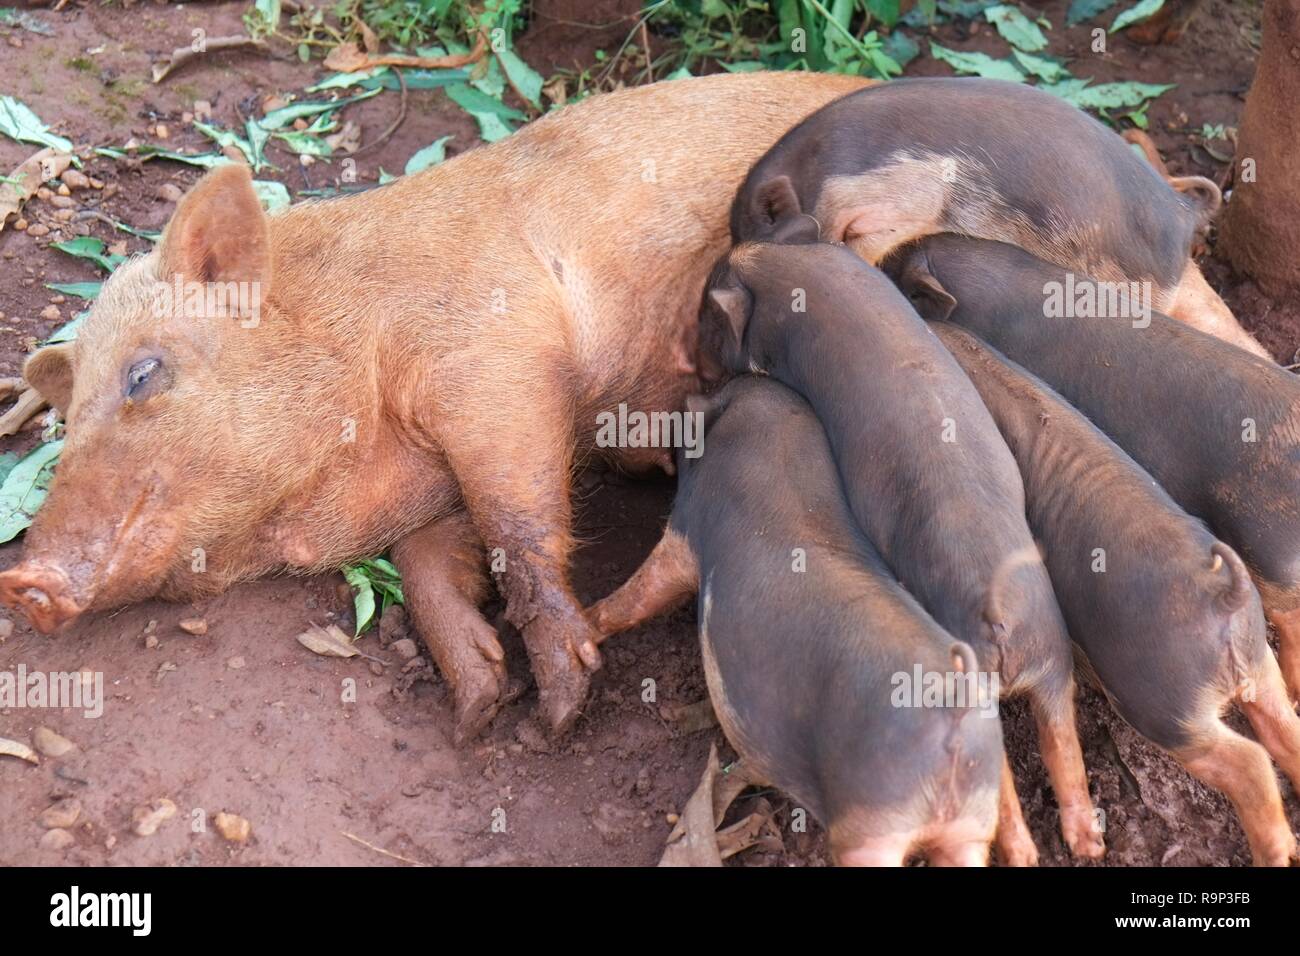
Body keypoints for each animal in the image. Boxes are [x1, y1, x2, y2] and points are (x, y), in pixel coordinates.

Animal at [0, 70, 872, 742]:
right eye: (67, 420)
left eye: (143, 374)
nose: (22, 581)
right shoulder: (439, 486)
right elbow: (429, 569)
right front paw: (479, 706)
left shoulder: (496, 367)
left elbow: (517, 521)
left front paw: (559, 707)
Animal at [588, 376, 1004, 866]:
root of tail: (955, 707)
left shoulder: (688, 528)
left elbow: (646, 589)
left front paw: (588, 624)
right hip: (973, 821)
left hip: (871, 820)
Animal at [700, 233, 1104, 863]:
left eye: (707, 318)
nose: (696, 371)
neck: (784, 271)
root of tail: (1000, 620)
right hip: (1053, 661)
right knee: (1061, 746)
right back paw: (1086, 844)